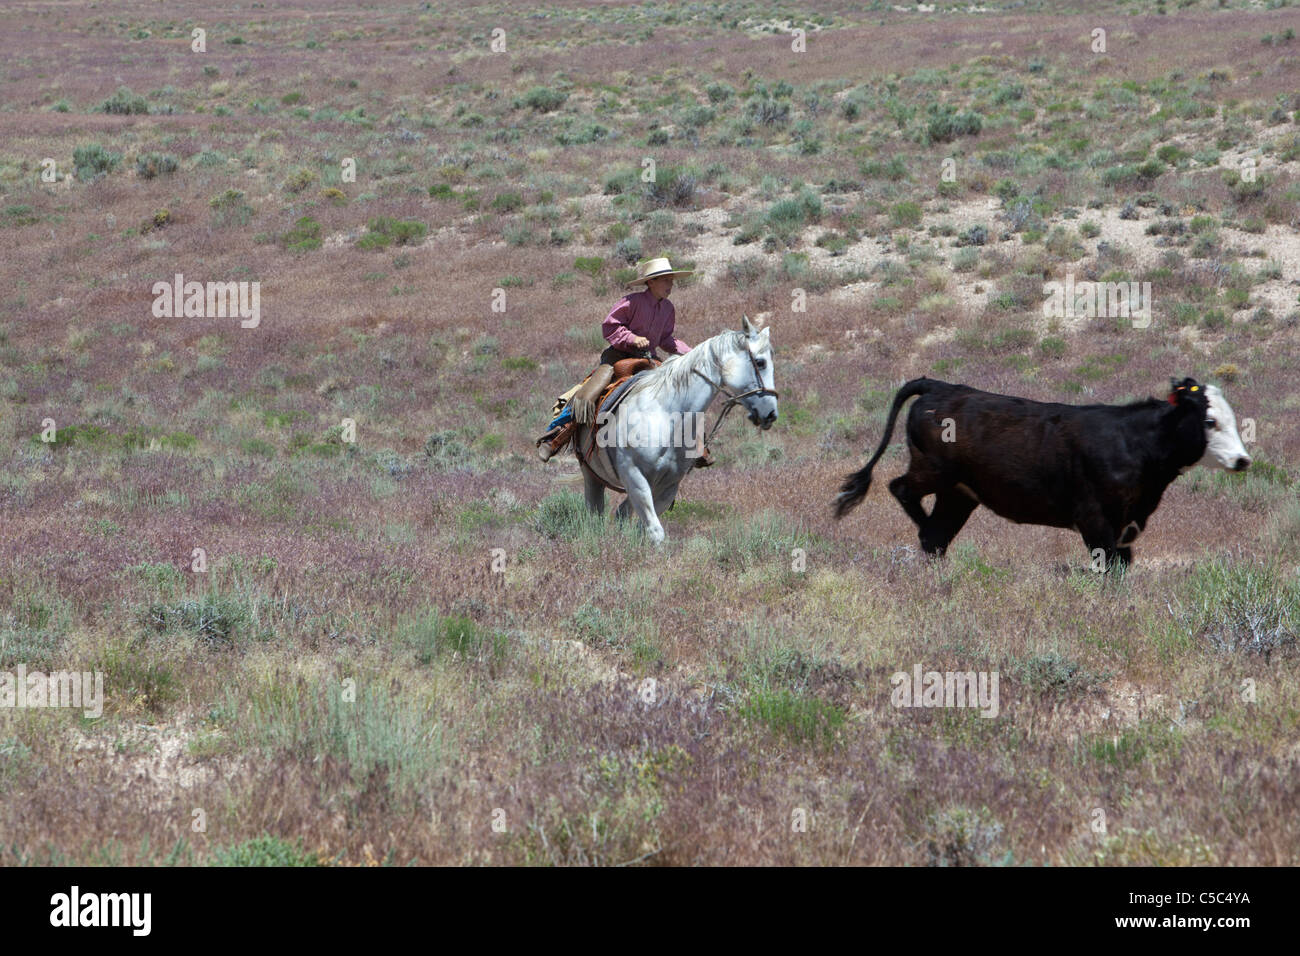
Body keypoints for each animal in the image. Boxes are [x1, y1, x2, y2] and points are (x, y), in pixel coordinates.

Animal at [832, 377, 1250, 570]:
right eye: (1210, 421)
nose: (1242, 459)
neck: (1133, 441)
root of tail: (940, 385)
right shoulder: (1094, 519)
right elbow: (1107, 565)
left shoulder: (1126, 524)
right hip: (933, 471)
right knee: (901, 489)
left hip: (959, 494)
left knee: (937, 534)